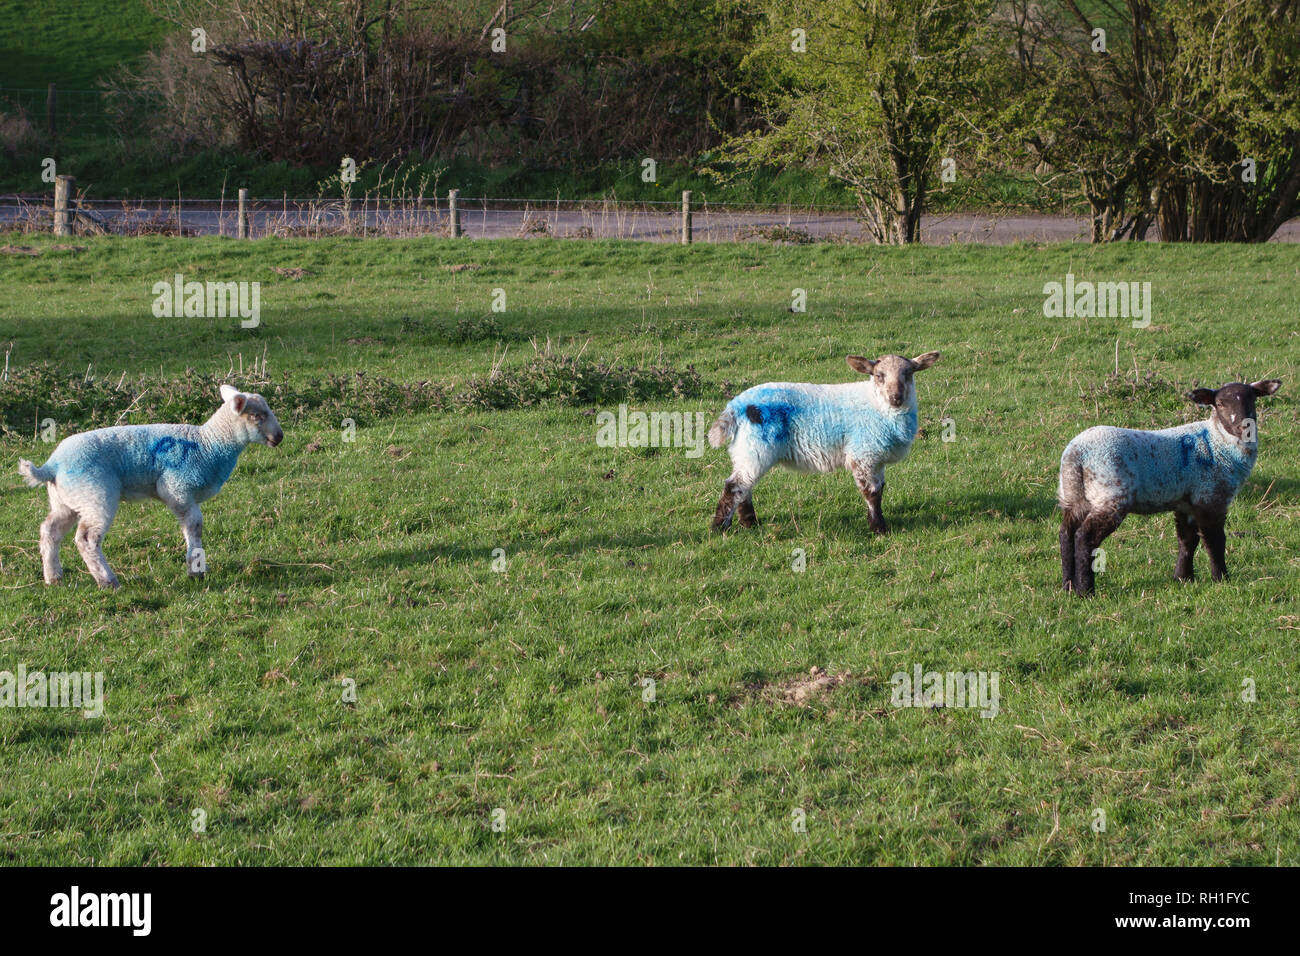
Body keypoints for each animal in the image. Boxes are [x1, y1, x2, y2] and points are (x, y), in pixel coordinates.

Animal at [17, 385, 283, 589]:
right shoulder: (177, 489)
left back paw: (54, 577)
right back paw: (108, 581)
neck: (210, 443)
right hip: (95, 493)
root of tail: (51, 465)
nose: (279, 437)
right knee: (87, 539)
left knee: (50, 531)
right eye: (257, 415)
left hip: (68, 500)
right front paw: (196, 569)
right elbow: (194, 527)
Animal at [706, 351, 941, 531]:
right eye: (878, 375)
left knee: (744, 487)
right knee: (734, 486)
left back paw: (749, 523)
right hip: (756, 447)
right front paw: (878, 528)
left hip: (745, 449)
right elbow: (871, 493)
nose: (896, 398)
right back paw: (719, 528)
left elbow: (880, 489)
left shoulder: (877, 458)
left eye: (908, 373)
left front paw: (876, 523)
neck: (877, 405)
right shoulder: (863, 453)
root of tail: (736, 407)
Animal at [1057, 378, 1282, 596]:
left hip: (1074, 495)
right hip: (1110, 495)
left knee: (1066, 534)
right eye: (1219, 404)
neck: (1218, 441)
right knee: (1084, 537)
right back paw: (1086, 590)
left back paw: (1068, 586)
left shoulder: (1186, 502)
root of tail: (1077, 454)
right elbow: (1215, 541)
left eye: (1252, 399)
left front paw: (1183, 577)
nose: (1244, 427)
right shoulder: (1210, 497)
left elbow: (1187, 540)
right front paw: (1221, 578)